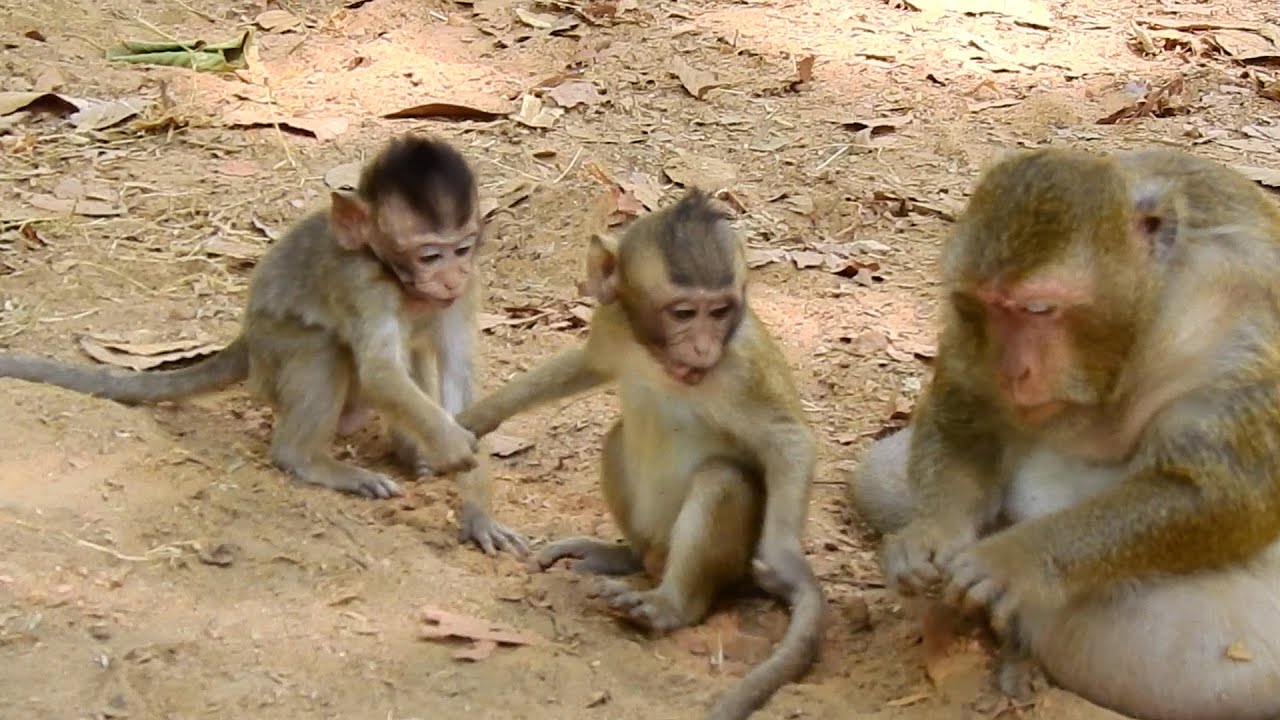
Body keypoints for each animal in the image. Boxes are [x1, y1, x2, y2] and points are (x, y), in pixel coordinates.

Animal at [0, 134, 527, 556]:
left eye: (462, 250)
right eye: (430, 255)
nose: (451, 277)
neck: (401, 284)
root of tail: (247, 340)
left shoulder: (467, 291)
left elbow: (458, 380)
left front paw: (478, 512)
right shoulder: (360, 281)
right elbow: (379, 371)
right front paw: (451, 445)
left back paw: (408, 450)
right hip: (274, 355)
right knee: (327, 350)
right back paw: (308, 459)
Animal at [454, 189, 825, 720]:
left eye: (720, 312)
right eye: (684, 313)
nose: (703, 348)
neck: (659, 360)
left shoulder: (741, 363)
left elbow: (789, 439)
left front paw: (783, 561)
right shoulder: (614, 324)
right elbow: (586, 365)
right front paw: (482, 415)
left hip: (722, 562)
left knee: (720, 478)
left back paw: (671, 605)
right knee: (616, 438)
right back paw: (620, 555)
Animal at [846, 145, 1280, 720]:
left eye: (1038, 309)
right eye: (981, 305)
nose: (1014, 371)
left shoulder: (1231, 324)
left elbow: (1219, 493)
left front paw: (1018, 558)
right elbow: (964, 418)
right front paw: (929, 536)